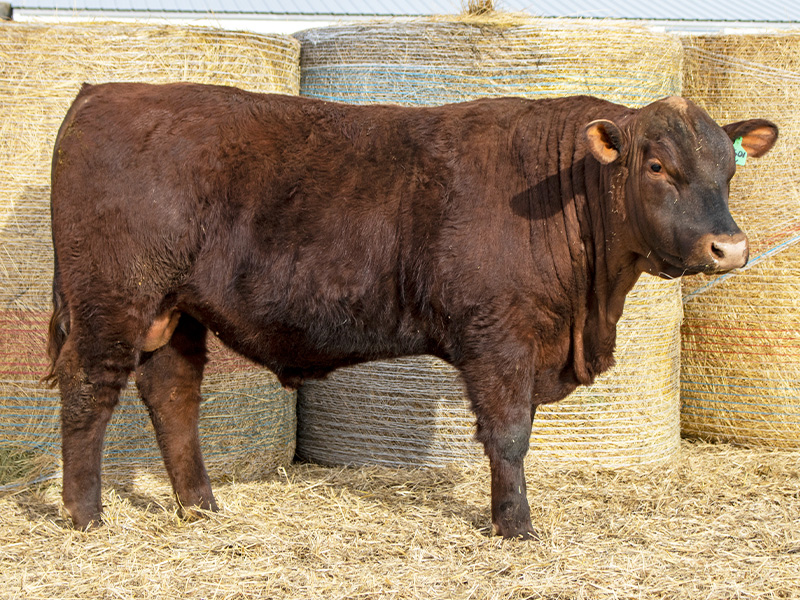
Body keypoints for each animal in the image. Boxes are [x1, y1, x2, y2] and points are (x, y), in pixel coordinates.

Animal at [46, 82, 777, 539]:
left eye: (729, 169)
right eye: (656, 166)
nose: (730, 247)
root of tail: (101, 94)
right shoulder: (498, 335)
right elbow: (509, 434)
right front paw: (516, 527)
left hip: (174, 310)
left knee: (172, 394)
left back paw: (200, 506)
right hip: (109, 298)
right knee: (89, 393)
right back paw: (86, 518)